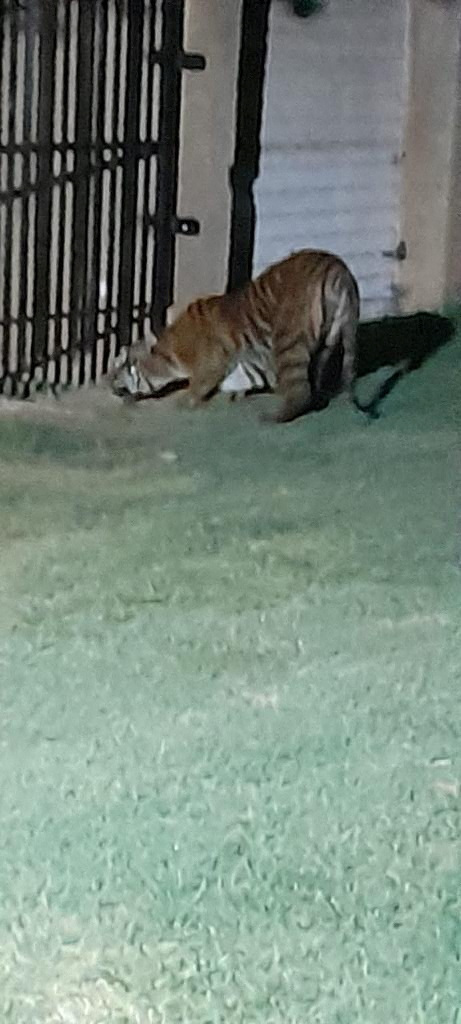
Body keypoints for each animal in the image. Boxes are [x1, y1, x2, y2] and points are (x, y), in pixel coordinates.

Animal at [110, 249, 360, 423]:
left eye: (119, 364)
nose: (109, 385)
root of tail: (336, 266)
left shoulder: (211, 362)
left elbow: (198, 385)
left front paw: (186, 402)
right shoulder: (247, 361)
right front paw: (235, 394)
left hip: (289, 340)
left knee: (300, 391)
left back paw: (274, 418)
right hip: (328, 339)